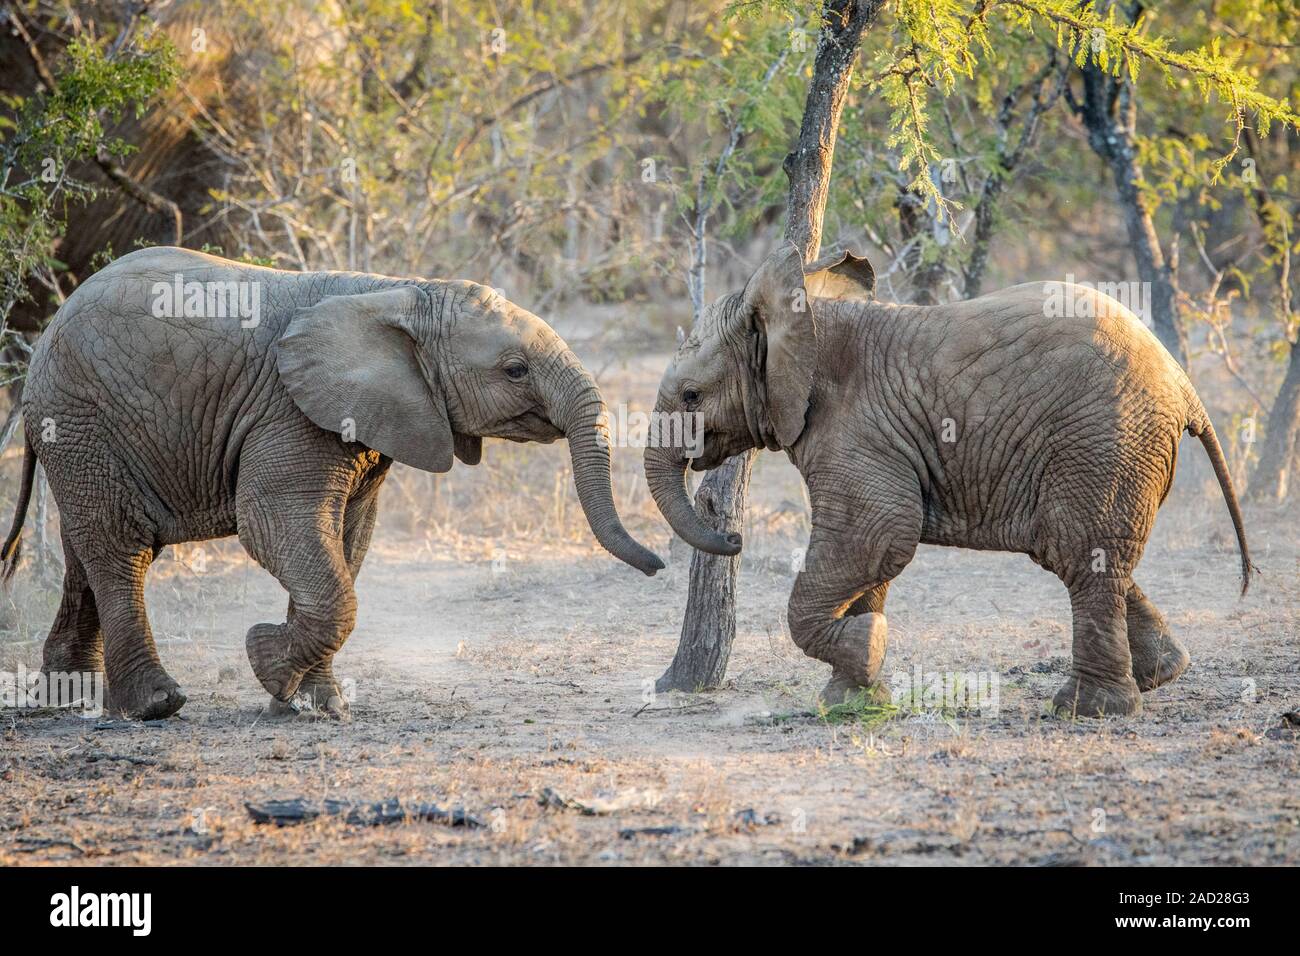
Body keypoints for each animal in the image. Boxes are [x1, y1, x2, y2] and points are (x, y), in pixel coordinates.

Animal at [1, 246, 663, 720]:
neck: (400, 292)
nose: (659, 565)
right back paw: (156, 706)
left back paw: (73, 699)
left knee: (86, 548)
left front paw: (310, 703)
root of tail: (41, 347)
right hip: (80, 416)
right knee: (123, 547)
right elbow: (276, 524)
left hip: (82, 433)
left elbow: (346, 539)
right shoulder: (289, 410)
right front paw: (268, 664)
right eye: (515, 370)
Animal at [644, 243, 1253, 717]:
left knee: (1082, 554)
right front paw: (852, 699)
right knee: (1087, 555)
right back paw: (1162, 674)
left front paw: (869, 648)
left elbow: (877, 532)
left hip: (1104, 439)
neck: (807, 316)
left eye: (692, 396)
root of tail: (1183, 383)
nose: (733, 536)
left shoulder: (858, 428)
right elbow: (873, 558)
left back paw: (1085, 710)